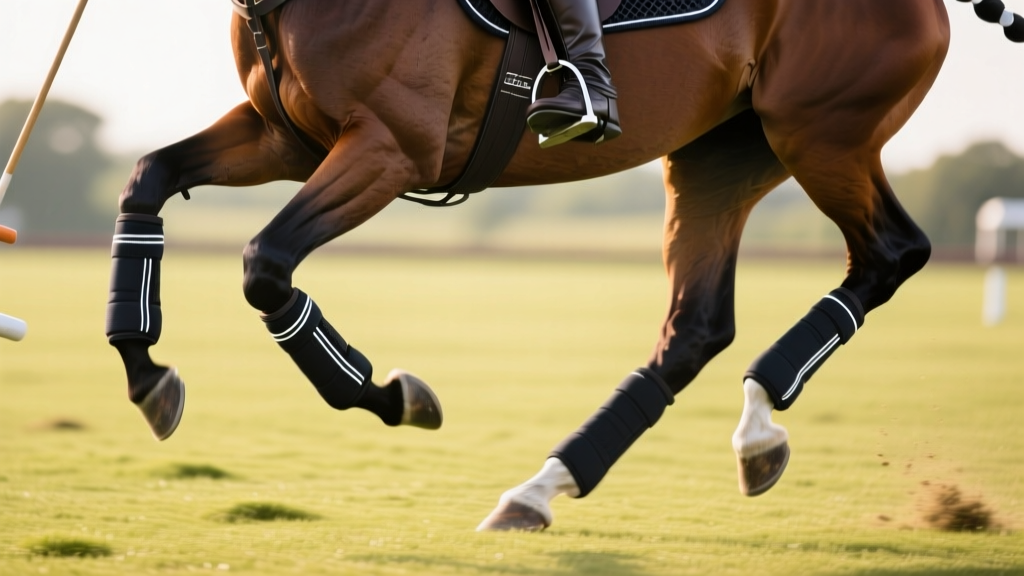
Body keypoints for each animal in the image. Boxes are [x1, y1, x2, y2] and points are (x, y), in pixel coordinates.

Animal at [102, 0, 1011, 531]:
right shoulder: (284, 136)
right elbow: (147, 179)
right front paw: (146, 374)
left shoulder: (388, 148)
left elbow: (266, 265)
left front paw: (390, 395)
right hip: (724, 152)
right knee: (696, 325)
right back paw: (576, 479)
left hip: (822, 131)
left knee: (892, 253)